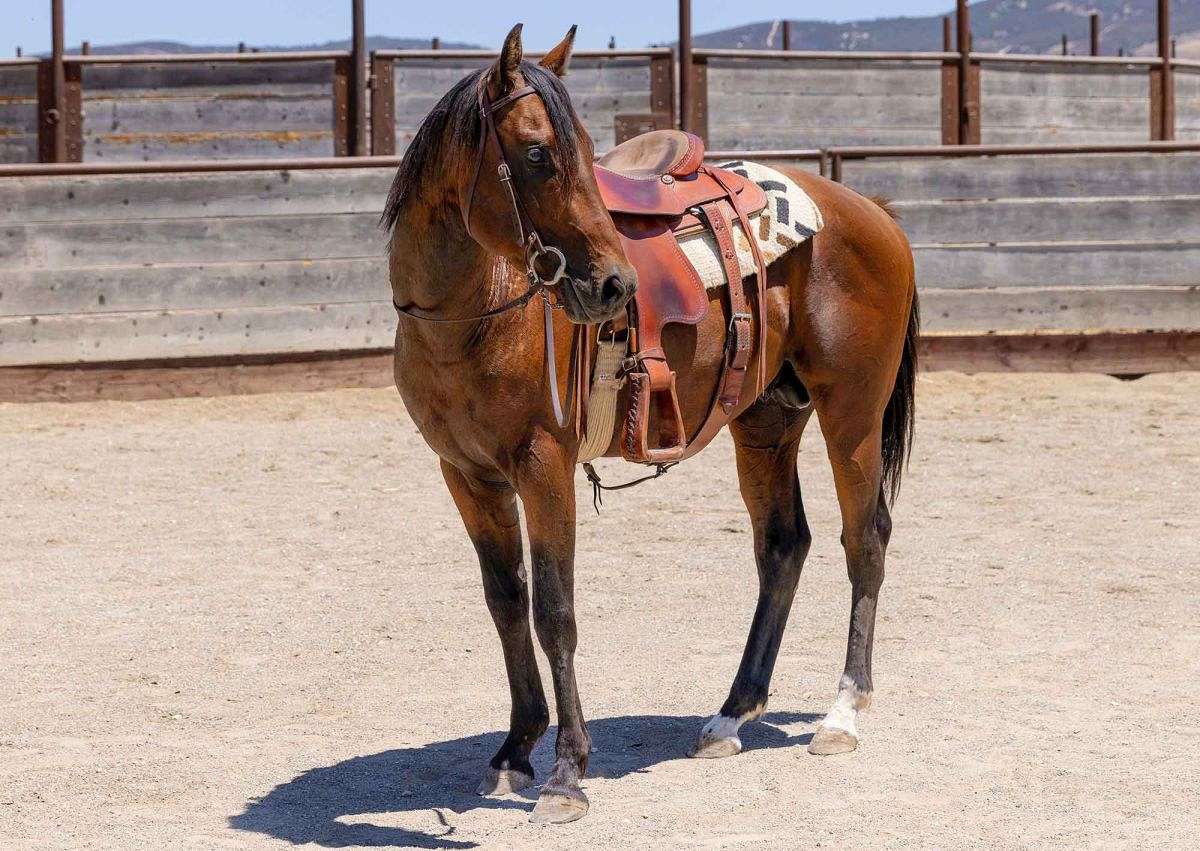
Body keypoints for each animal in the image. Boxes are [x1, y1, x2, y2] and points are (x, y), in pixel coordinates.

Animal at [382, 24, 918, 824]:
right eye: (536, 152)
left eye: (582, 146)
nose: (614, 285)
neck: (473, 310)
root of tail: (872, 211)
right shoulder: (467, 474)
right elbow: (506, 601)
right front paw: (515, 750)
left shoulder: (543, 466)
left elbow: (556, 611)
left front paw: (566, 773)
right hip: (767, 421)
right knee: (783, 544)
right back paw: (732, 713)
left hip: (850, 412)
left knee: (866, 538)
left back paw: (843, 711)